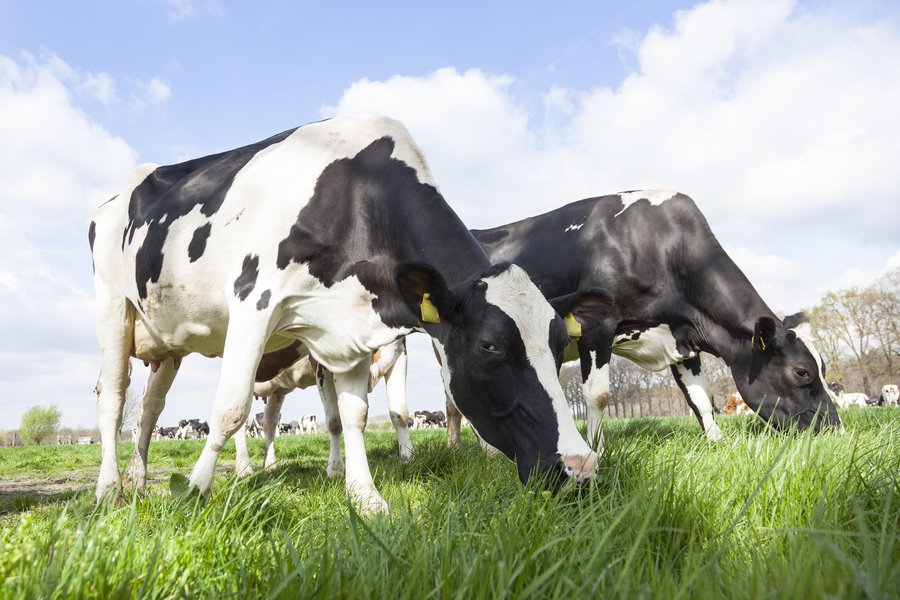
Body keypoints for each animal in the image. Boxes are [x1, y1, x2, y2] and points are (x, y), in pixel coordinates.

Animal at [90, 115, 598, 511]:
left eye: (560, 343)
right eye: (490, 345)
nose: (581, 466)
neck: (357, 198)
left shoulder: (353, 325)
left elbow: (354, 416)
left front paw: (365, 496)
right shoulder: (254, 300)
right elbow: (230, 409)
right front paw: (194, 490)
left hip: (166, 343)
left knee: (149, 411)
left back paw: (138, 481)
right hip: (113, 304)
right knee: (114, 400)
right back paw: (109, 489)